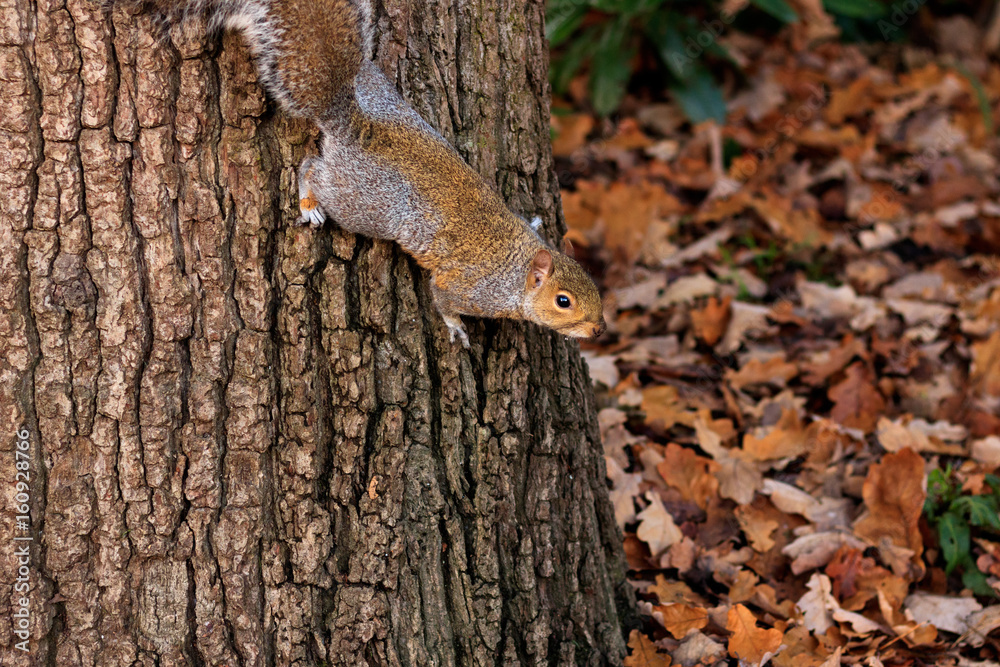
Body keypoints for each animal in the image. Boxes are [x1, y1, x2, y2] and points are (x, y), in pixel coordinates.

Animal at [122, 0, 606, 347]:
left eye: (595, 287)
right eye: (563, 301)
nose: (599, 329)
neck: (516, 267)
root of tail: (358, 127)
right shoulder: (464, 286)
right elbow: (444, 300)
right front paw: (456, 329)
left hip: (376, 92)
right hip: (363, 205)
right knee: (311, 167)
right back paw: (309, 203)